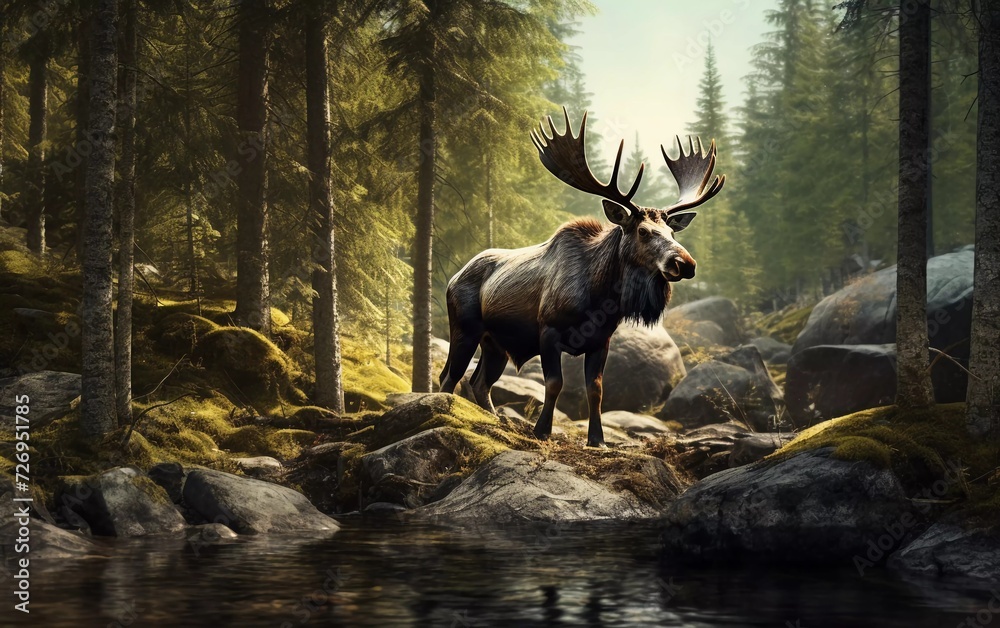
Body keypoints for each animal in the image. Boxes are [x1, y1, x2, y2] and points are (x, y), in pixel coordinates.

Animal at [439, 108, 725, 447]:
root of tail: (453, 279)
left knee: (479, 381)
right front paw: (542, 431)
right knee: (450, 376)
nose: (686, 263)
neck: (599, 297)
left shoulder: (601, 340)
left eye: (671, 232)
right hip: (464, 328)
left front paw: (597, 439)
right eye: (643, 231)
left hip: (495, 343)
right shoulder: (548, 331)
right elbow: (554, 383)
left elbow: (596, 390)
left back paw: (494, 419)